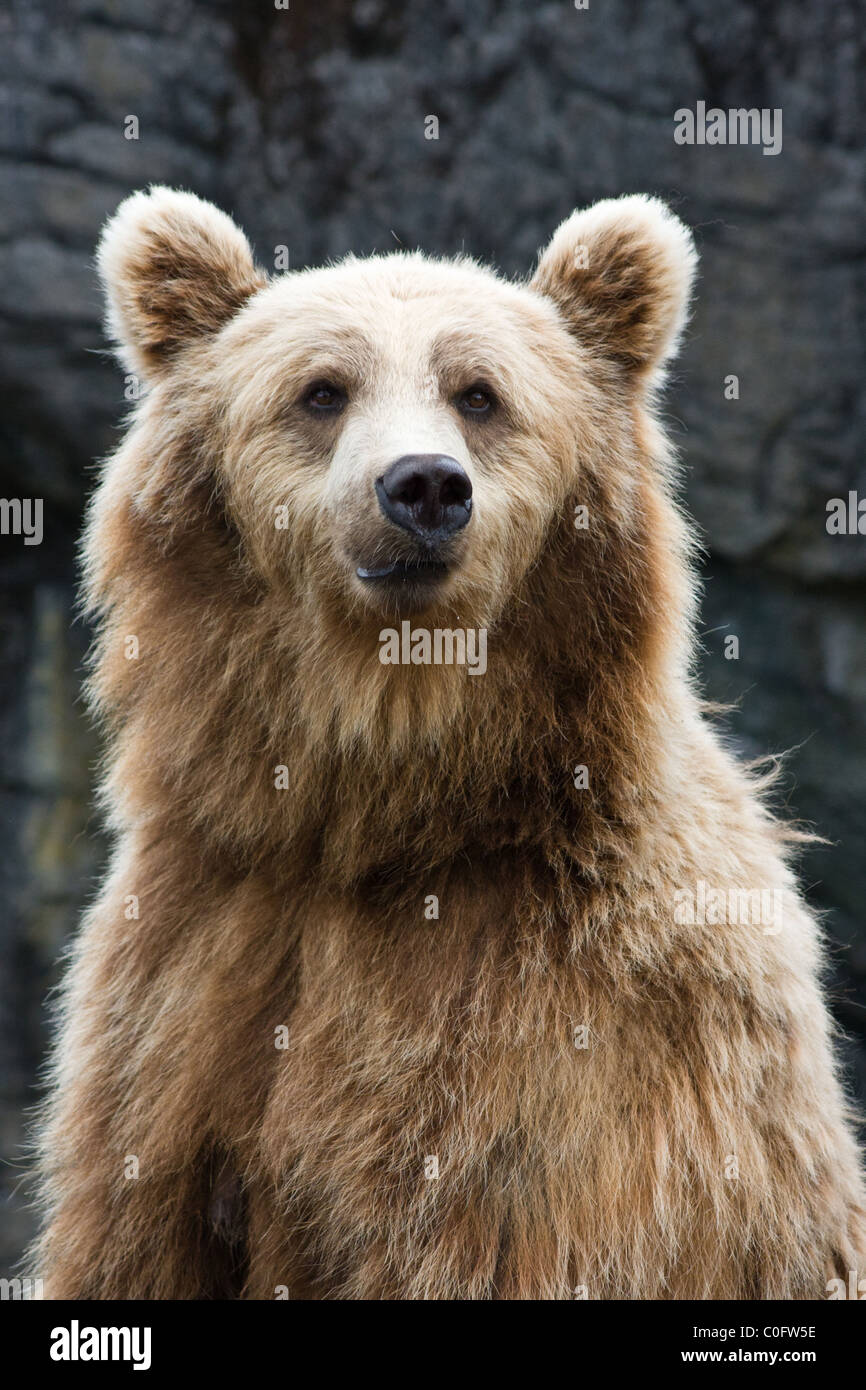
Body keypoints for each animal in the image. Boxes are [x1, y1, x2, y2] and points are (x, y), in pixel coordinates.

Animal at [32, 186, 865, 1299]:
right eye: (321, 391)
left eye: (479, 394)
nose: (424, 486)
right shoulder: (184, 992)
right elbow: (134, 1229)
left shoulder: (567, 1055)